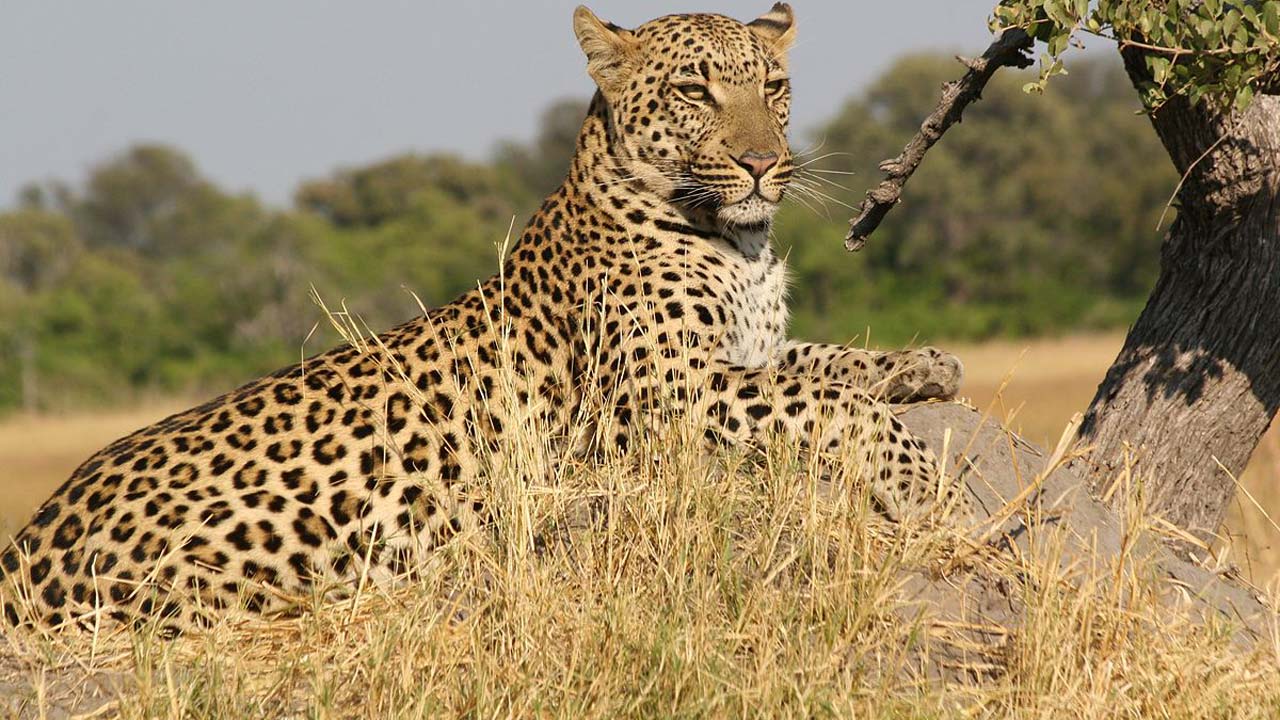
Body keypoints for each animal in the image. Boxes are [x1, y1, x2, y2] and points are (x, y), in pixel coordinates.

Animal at [0, 3, 968, 634]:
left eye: (774, 86)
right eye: (695, 90)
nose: (766, 162)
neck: (740, 243)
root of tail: (26, 542)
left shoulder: (742, 352)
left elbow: (831, 361)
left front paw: (926, 365)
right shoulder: (650, 399)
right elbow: (822, 399)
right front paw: (922, 481)